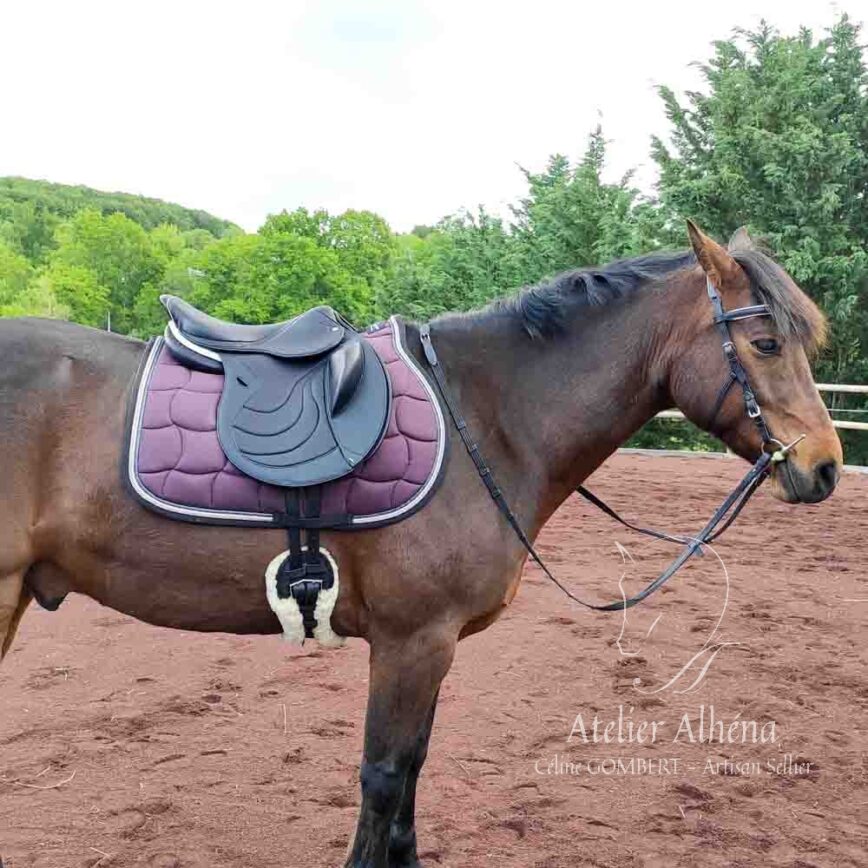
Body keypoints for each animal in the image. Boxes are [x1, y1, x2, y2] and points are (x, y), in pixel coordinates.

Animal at [0, 223, 841, 867]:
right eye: (766, 341)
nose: (826, 466)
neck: (487, 416)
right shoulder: (412, 640)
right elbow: (384, 775)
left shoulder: (433, 646)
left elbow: (411, 771)